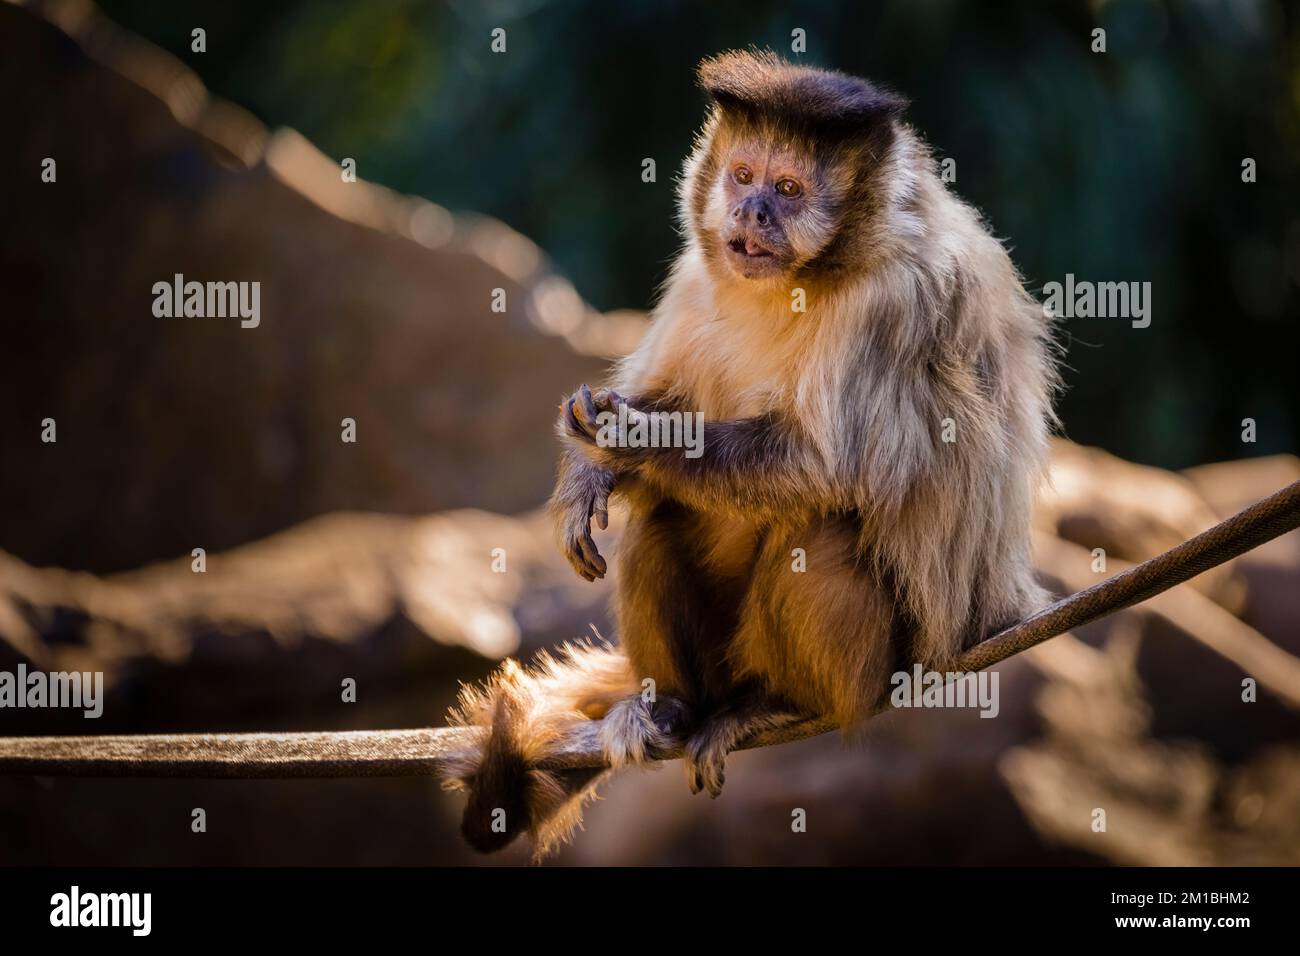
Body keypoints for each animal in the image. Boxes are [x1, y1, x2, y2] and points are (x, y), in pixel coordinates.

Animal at [441, 49, 1059, 860]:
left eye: (788, 190)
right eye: (743, 175)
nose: (753, 212)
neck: (800, 279)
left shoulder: (893, 301)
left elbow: (824, 470)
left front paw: (628, 441)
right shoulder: (698, 275)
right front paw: (591, 472)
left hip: (886, 664)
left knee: (818, 532)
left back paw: (773, 704)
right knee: (665, 519)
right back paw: (673, 708)